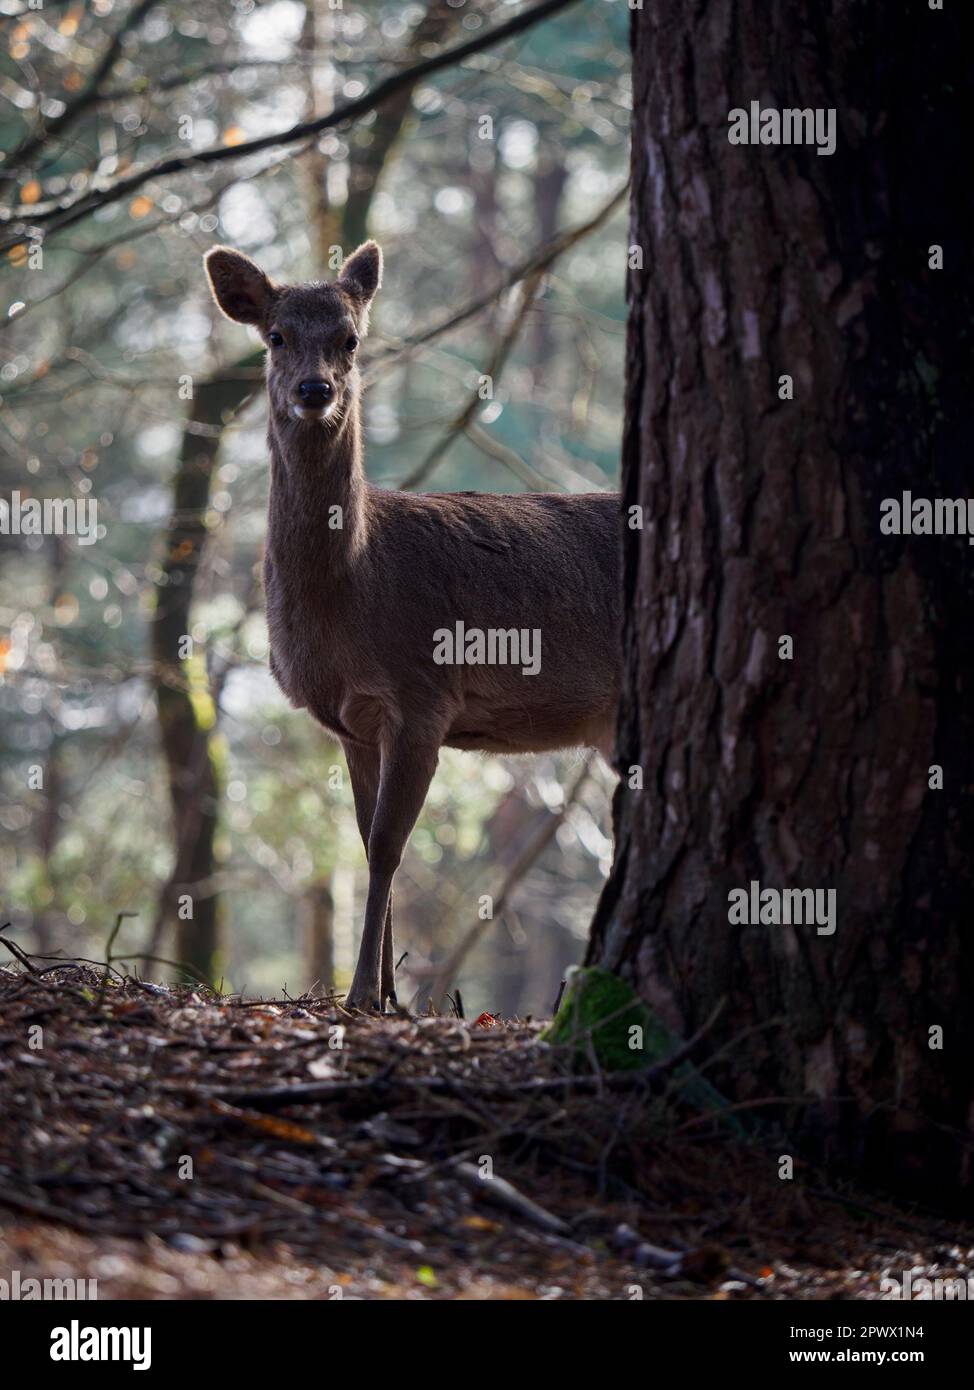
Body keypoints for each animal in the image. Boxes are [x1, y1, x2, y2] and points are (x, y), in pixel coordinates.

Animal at [204, 240, 621, 1012]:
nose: (314, 390)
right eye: (275, 336)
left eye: (350, 339)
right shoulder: (351, 722)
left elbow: (387, 846)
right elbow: (363, 836)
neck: (356, 590)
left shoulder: (425, 695)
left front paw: (363, 994)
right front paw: (387, 993)